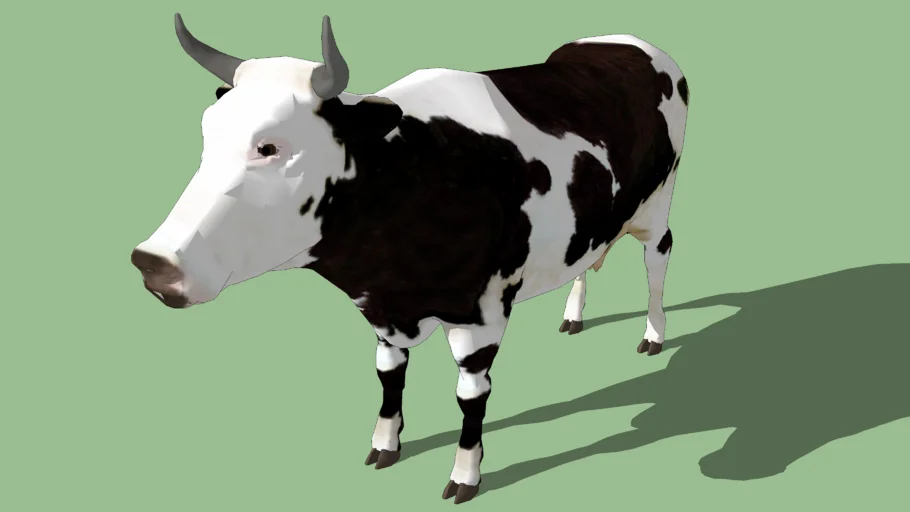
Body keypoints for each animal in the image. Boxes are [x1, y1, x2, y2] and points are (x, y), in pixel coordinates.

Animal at [130, 13, 689, 504]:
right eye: (208, 135)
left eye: (270, 147)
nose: (153, 263)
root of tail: (627, 40)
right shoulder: (382, 311)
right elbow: (388, 374)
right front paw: (385, 444)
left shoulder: (481, 313)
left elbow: (471, 396)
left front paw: (465, 475)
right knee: (588, 259)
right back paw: (573, 316)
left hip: (659, 202)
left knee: (657, 261)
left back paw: (653, 334)